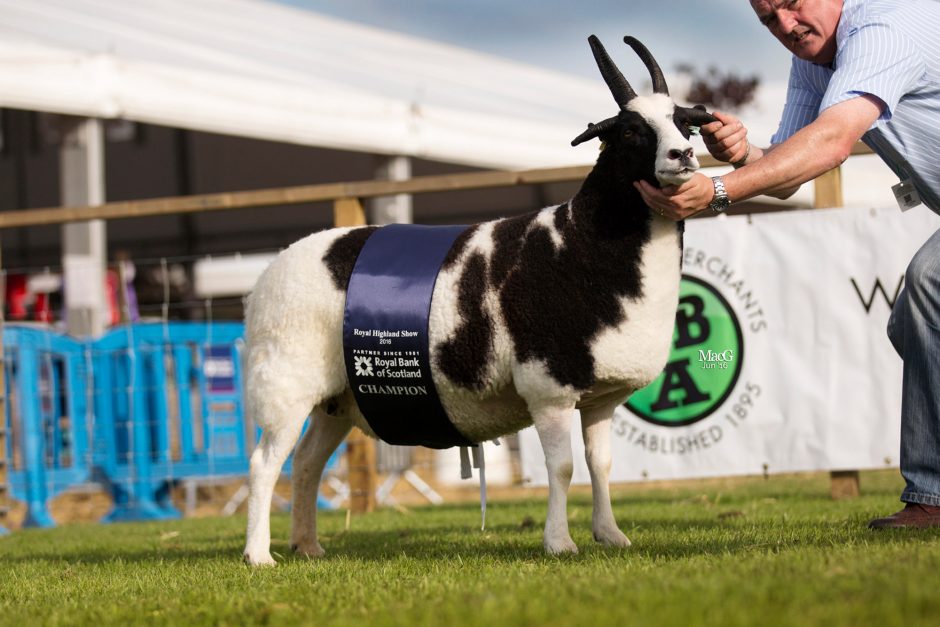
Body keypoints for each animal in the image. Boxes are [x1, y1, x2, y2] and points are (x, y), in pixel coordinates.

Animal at [242, 35, 716, 566]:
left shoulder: (600, 397)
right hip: (284, 382)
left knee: (306, 462)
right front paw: (559, 542)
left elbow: (602, 465)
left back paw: (307, 546)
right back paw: (258, 555)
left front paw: (610, 535)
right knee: (265, 463)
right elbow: (562, 468)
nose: (683, 154)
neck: (583, 244)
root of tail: (264, 281)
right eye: (632, 131)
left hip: (336, 399)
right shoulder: (548, 387)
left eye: (684, 121)